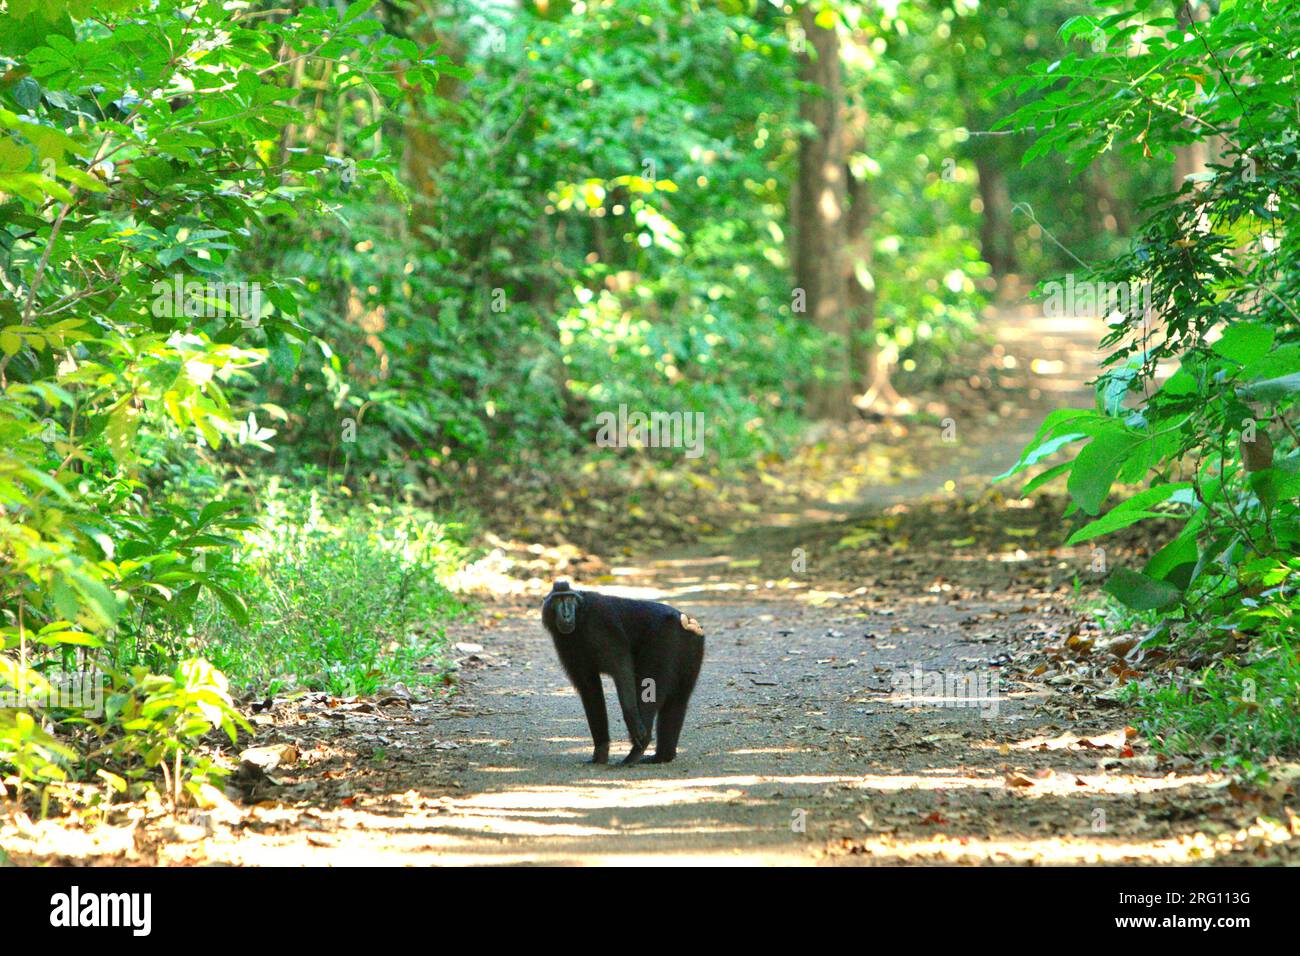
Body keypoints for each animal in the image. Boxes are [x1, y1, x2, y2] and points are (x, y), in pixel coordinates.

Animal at [541, 580, 705, 766]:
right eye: (558, 600)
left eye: (569, 599)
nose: (567, 615)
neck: (582, 616)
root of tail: (685, 621)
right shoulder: (565, 643)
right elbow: (589, 688)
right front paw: (600, 752)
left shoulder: (600, 623)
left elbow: (621, 666)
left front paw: (633, 723)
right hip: (692, 647)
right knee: (677, 700)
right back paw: (662, 756)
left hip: (666, 640)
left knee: (649, 688)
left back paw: (637, 750)